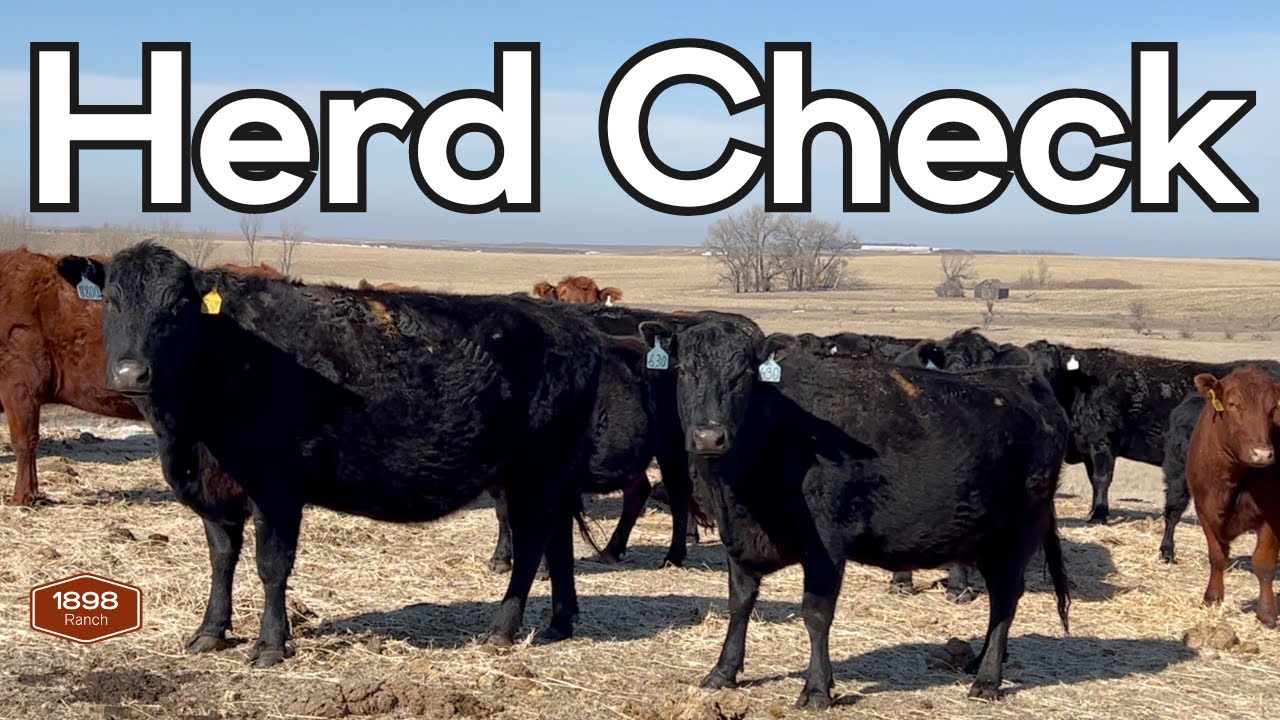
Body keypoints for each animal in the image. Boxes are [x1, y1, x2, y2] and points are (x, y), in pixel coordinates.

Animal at [56, 243, 606, 667]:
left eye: (177, 306)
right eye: (110, 301)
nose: (131, 373)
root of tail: (568, 322)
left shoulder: (276, 487)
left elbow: (271, 565)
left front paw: (270, 645)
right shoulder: (215, 489)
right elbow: (221, 559)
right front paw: (210, 633)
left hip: (536, 470)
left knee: (532, 542)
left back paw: (502, 629)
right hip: (548, 475)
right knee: (558, 539)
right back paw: (561, 621)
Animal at [640, 318, 1070, 705]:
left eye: (744, 374)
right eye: (685, 370)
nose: (709, 436)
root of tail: (1022, 380)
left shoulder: (826, 544)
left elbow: (816, 614)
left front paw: (816, 689)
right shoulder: (739, 539)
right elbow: (740, 603)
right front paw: (723, 671)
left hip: (1016, 536)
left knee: (1005, 600)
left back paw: (987, 681)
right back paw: (979, 662)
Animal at [1184, 365, 1280, 628]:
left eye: (1272, 408)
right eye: (1232, 404)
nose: (1262, 454)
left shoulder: (1272, 515)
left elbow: (1264, 564)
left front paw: (1267, 614)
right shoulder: (1204, 510)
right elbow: (1217, 557)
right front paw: (1212, 598)